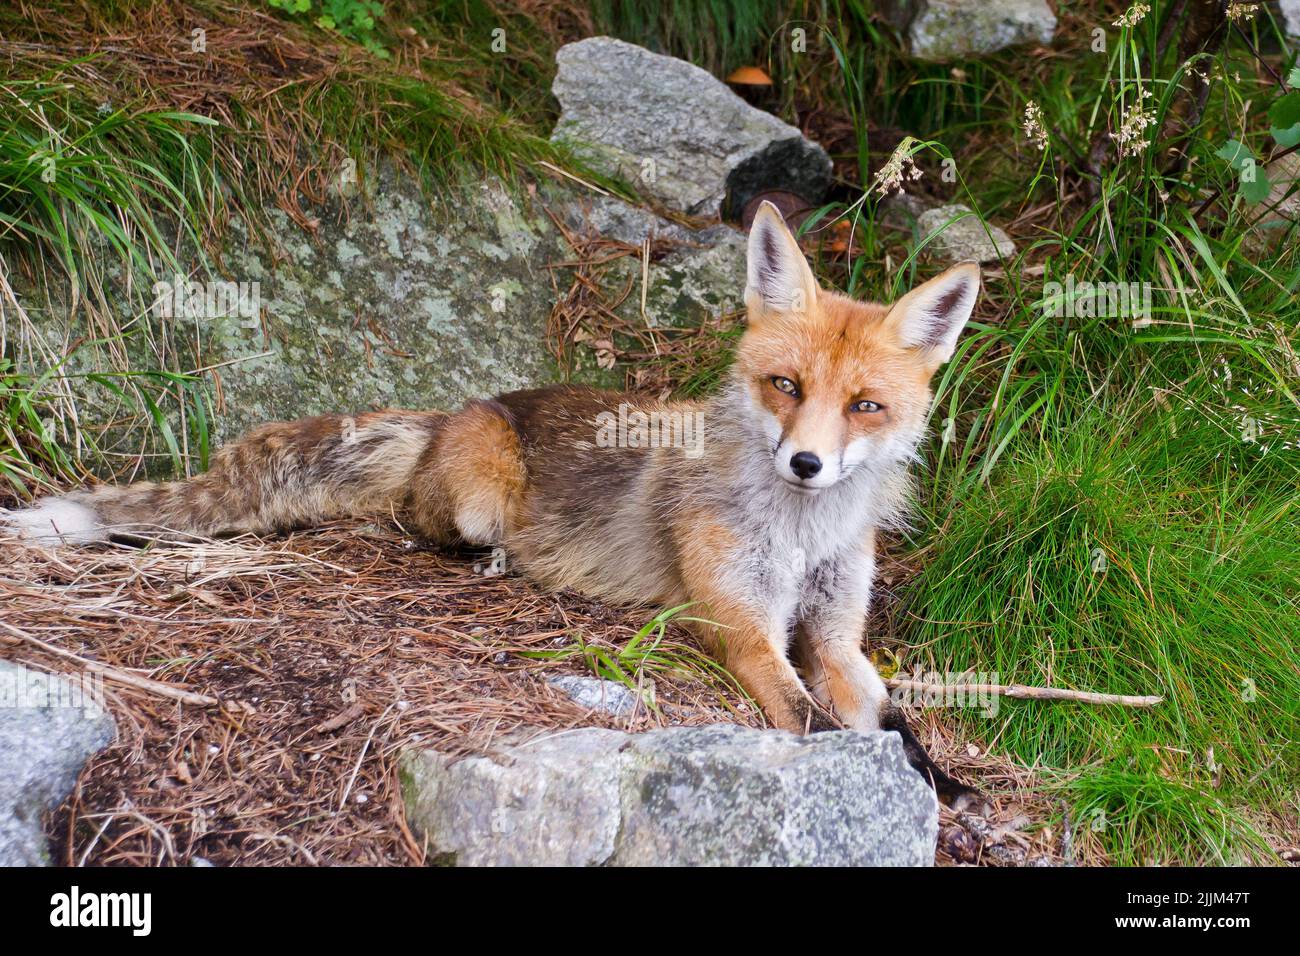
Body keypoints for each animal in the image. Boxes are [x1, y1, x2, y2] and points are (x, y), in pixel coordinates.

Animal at [6, 201, 985, 809]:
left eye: (865, 406)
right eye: (785, 386)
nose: (808, 463)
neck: (801, 534)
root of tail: (456, 411)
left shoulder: (837, 635)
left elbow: (892, 719)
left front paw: (943, 782)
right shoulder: (743, 629)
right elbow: (817, 723)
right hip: (476, 498)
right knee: (419, 521)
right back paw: (493, 557)